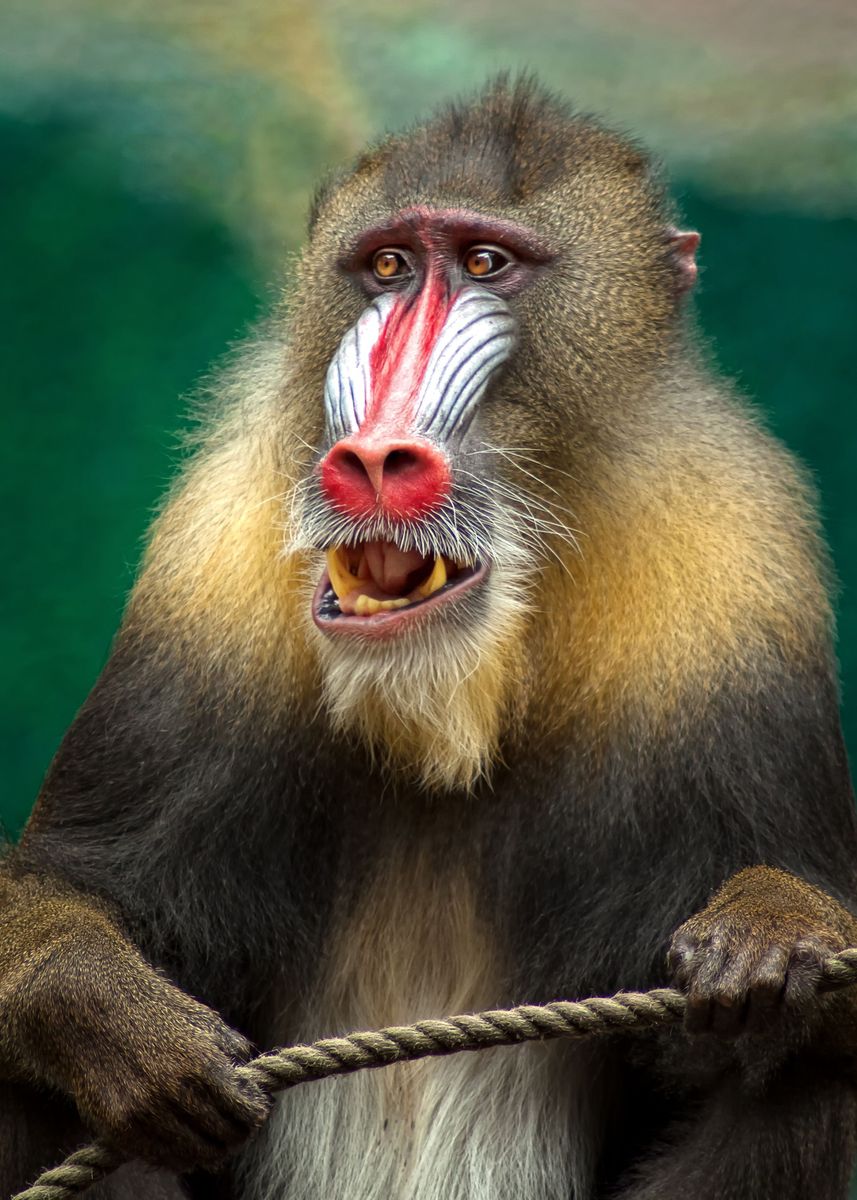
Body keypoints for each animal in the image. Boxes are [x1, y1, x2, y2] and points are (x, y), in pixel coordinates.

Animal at [2, 73, 857, 1200]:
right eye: (388, 268)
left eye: (487, 264)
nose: (372, 458)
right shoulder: (211, 568)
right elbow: (63, 892)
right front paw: (110, 1018)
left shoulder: (734, 573)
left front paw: (775, 933)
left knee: (796, 1074)